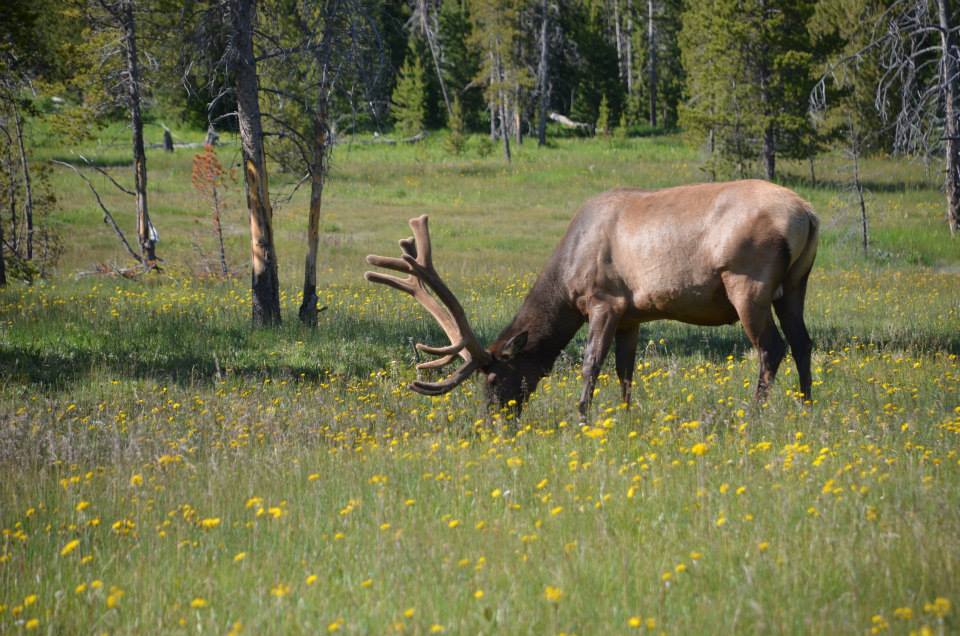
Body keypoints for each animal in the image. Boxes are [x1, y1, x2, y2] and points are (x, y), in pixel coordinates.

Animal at [365, 179, 819, 418]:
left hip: (747, 281)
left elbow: (591, 362)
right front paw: (626, 414)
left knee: (771, 347)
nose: (493, 421)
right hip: (796, 283)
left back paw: (756, 413)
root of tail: (808, 214)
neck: (566, 279)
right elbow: (625, 370)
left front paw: (581, 414)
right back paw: (806, 406)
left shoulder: (604, 300)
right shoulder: (633, 314)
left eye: (494, 376)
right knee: (802, 342)